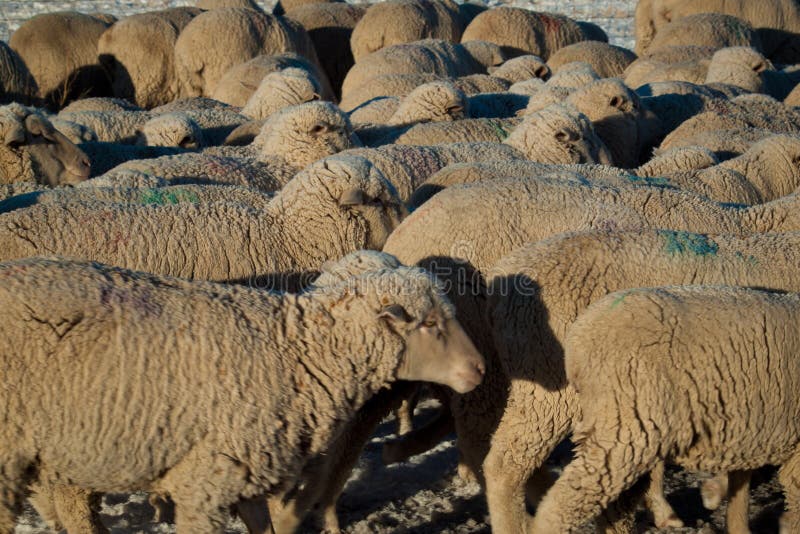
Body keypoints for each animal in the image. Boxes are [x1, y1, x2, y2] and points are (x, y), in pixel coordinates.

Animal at [532, 284, 800, 533]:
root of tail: (577, 340)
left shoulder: (753, 429)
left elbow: (741, 487)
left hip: (627, 431)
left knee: (615, 509)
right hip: (625, 432)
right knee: (562, 504)